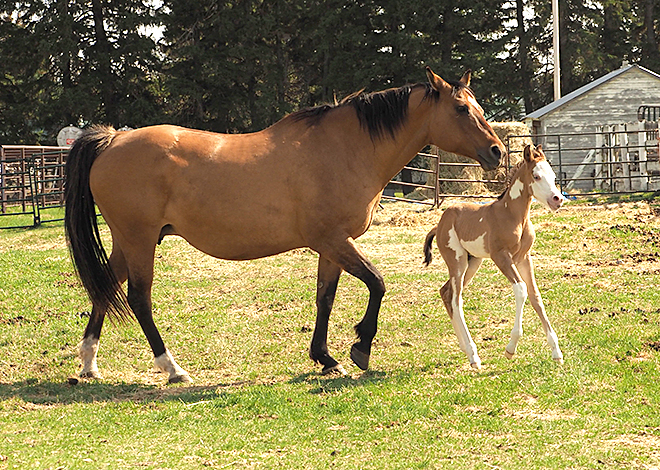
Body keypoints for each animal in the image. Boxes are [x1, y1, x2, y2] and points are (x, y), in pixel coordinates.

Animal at [65, 66, 505, 383]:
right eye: (461, 109)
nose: (498, 151)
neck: (346, 148)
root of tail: (113, 140)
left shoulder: (332, 246)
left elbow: (325, 298)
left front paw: (325, 358)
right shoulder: (334, 240)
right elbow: (377, 283)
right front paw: (361, 347)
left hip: (128, 241)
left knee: (104, 286)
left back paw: (88, 363)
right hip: (139, 240)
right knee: (138, 298)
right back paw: (172, 367)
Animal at [423, 144, 564, 369]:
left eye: (553, 175)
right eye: (536, 176)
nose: (557, 199)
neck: (512, 216)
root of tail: (440, 224)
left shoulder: (524, 258)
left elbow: (535, 296)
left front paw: (556, 352)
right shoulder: (501, 257)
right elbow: (521, 290)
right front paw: (510, 349)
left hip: (473, 261)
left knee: (446, 292)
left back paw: (465, 348)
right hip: (457, 261)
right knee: (456, 299)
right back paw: (473, 356)